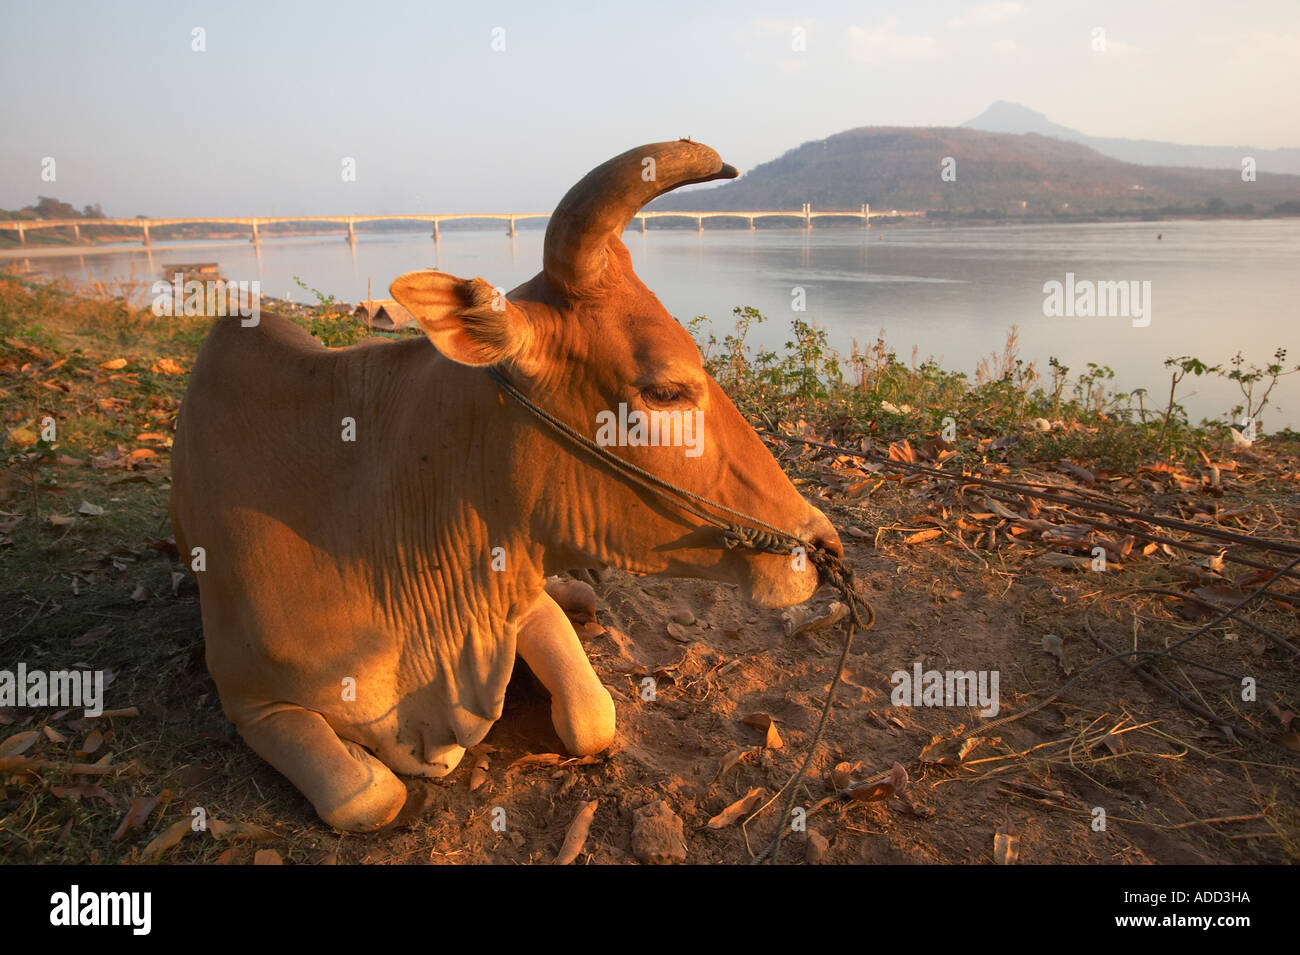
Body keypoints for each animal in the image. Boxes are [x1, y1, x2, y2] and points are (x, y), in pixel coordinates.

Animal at [170, 140, 843, 832]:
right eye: (663, 390)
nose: (824, 545)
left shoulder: (510, 593)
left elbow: (593, 717)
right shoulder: (247, 695)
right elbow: (368, 796)